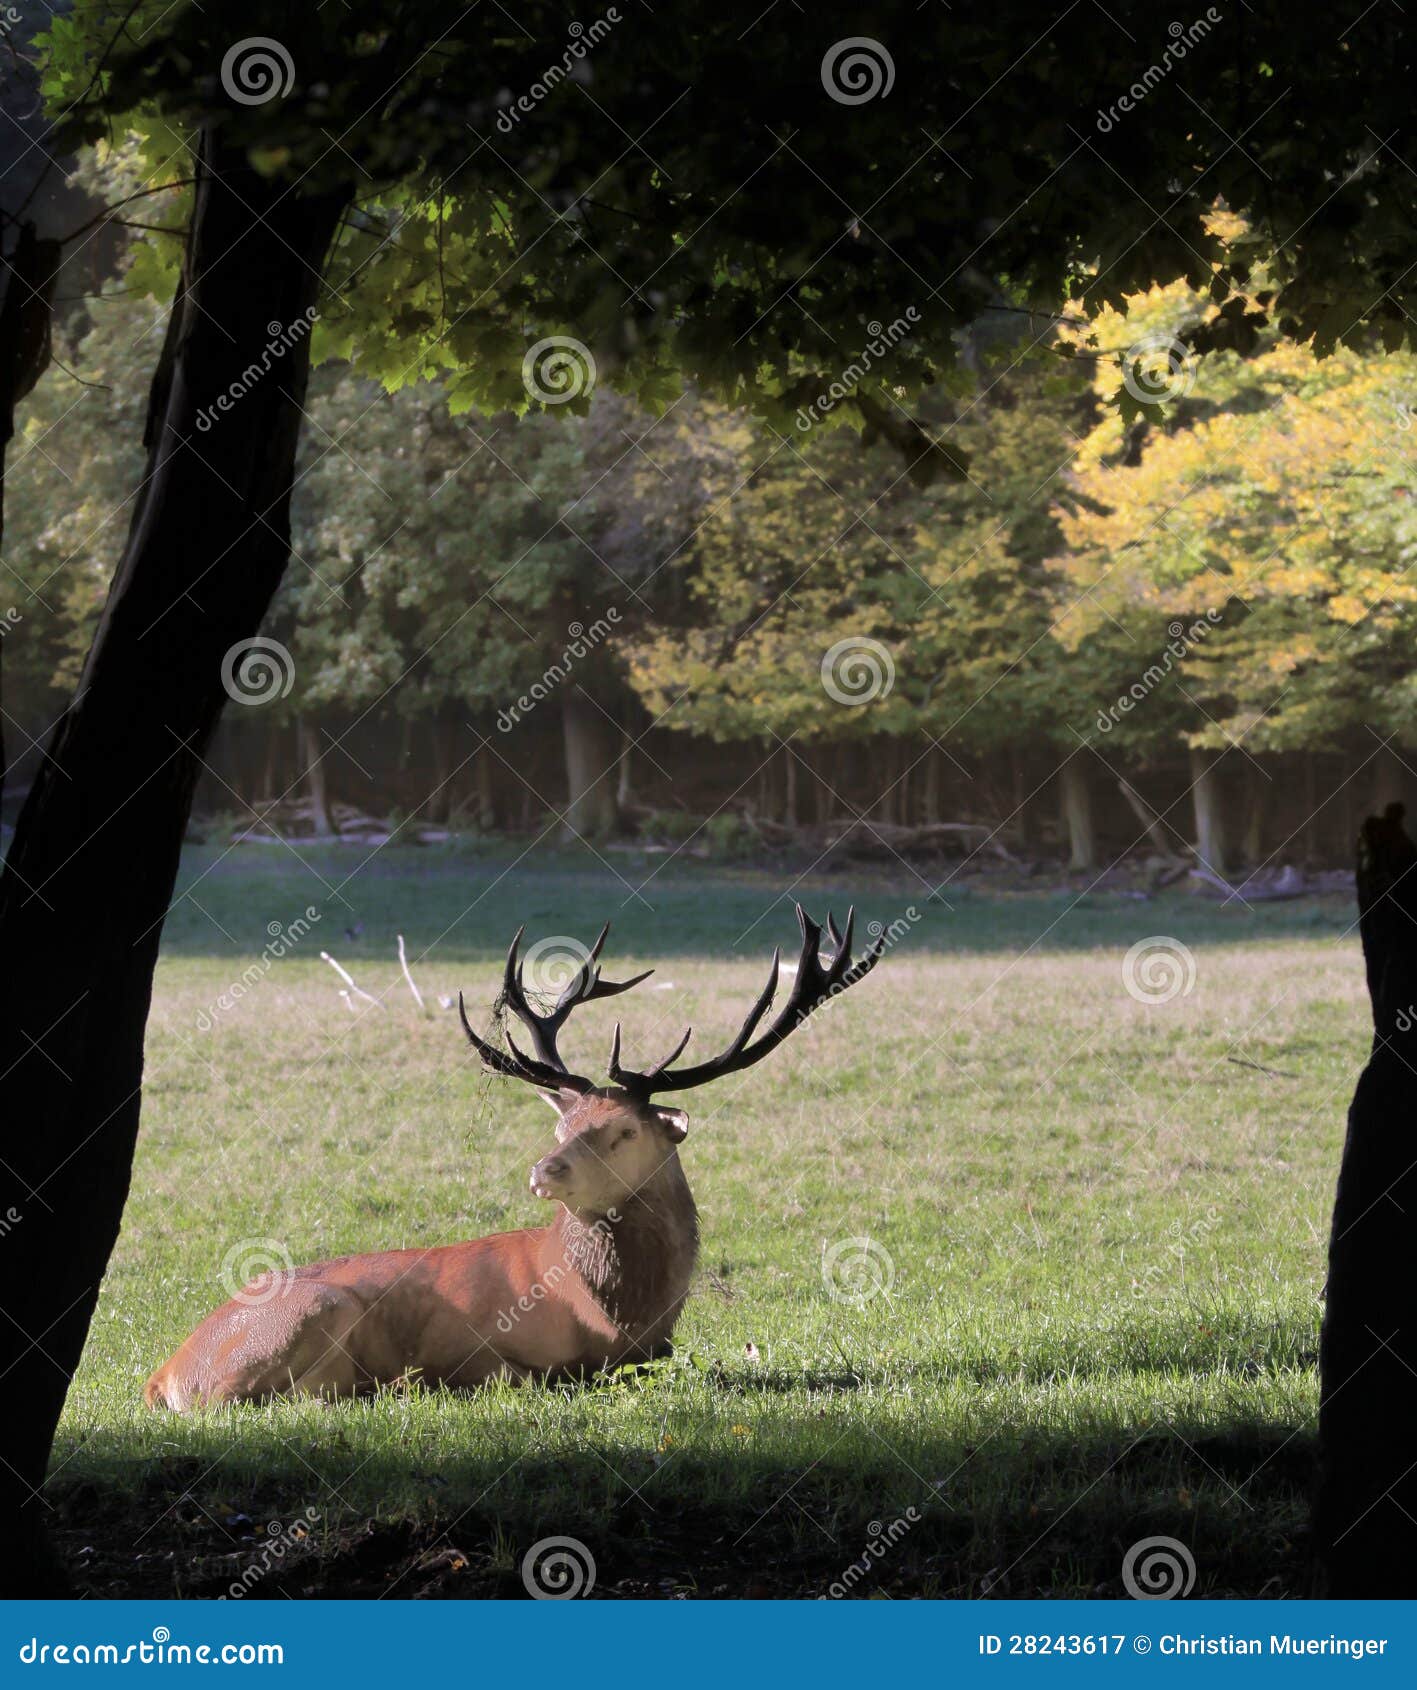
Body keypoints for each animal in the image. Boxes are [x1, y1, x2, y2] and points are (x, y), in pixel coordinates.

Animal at [144, 907, 882, 1410]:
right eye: (564, 1127)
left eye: (622, 1131)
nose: (543, 1170)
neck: (616, 1314)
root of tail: (164, 1374)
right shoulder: (481, 1342)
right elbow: (519, 1374)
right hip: (302, 1317)